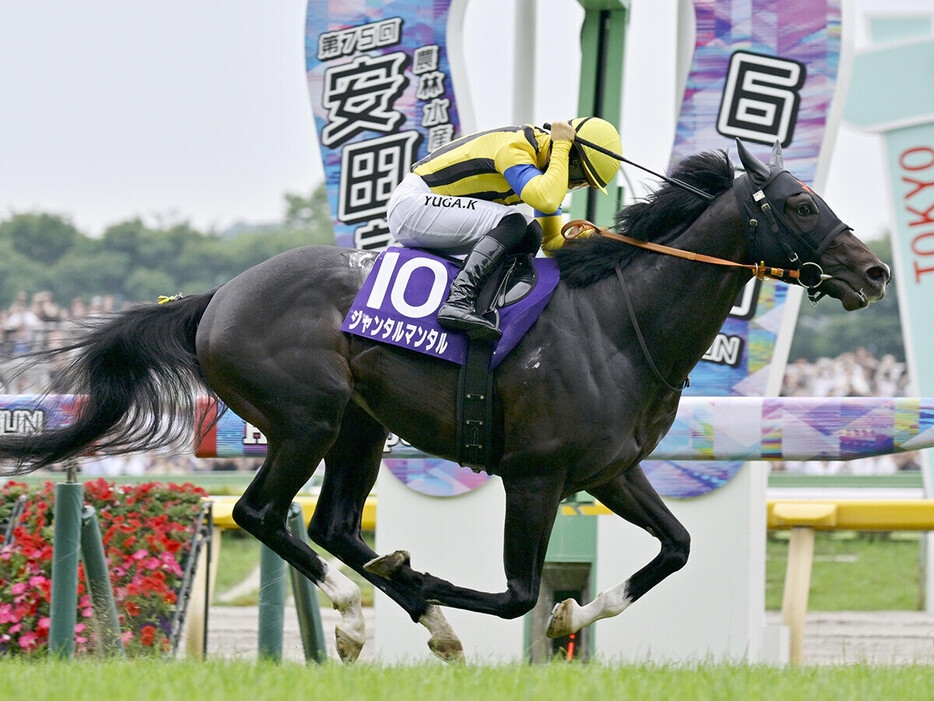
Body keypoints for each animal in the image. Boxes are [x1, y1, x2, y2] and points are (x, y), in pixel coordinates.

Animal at [0, 140, 889, 663]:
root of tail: (216, 295)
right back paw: (359, 609)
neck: (620, 323)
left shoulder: (610, 470)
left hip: (359, 427)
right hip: (307, 419)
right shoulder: (535, 474)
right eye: (801, 204)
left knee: (329, 523)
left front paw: (573, 614)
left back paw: (396, 605)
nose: (875, 272)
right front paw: (443, 590)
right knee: (263, 514)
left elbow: (675, 547)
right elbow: (519, 592)